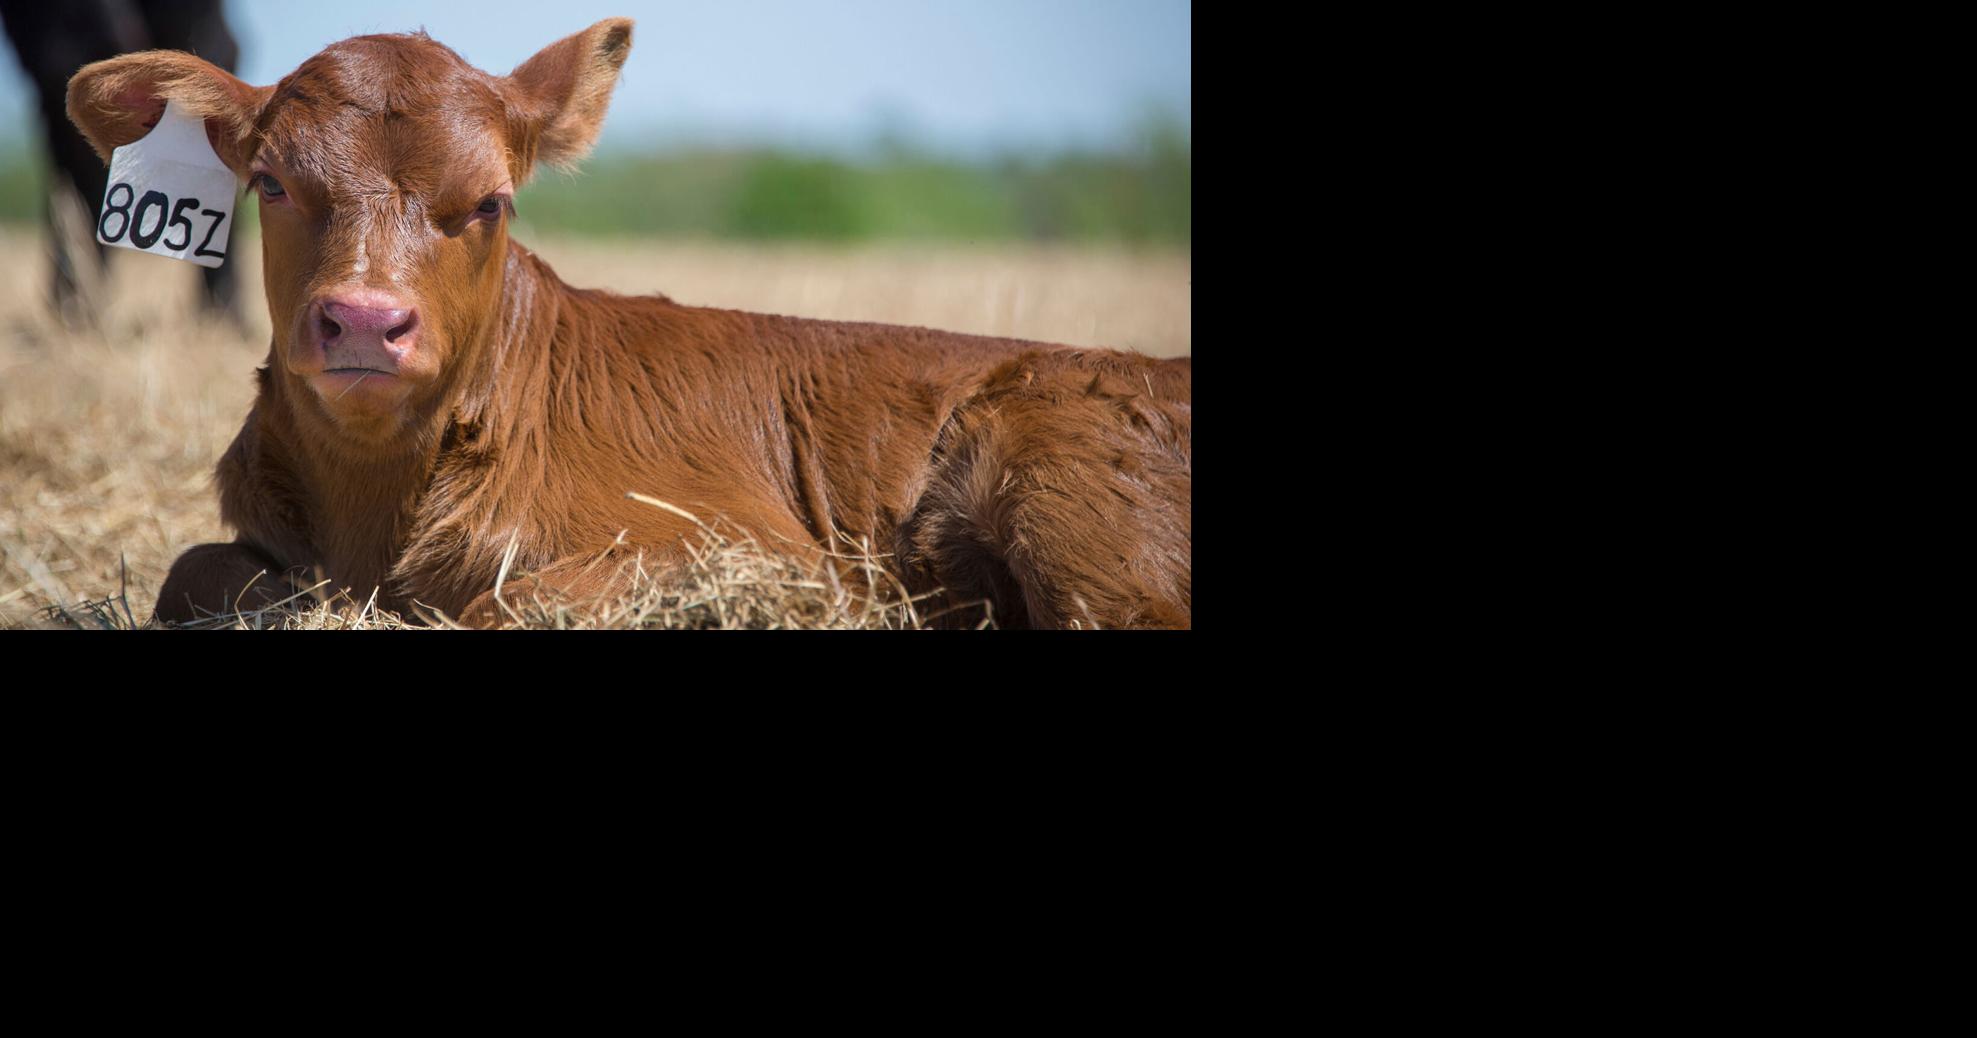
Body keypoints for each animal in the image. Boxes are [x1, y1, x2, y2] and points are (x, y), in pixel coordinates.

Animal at [63, 18, 1191, 629]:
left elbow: (507, 602)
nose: (365, 322)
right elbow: (194, 571)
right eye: (271, 183)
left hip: (1072, 485)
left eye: (490, 203)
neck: (376, 517)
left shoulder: (766, 557)